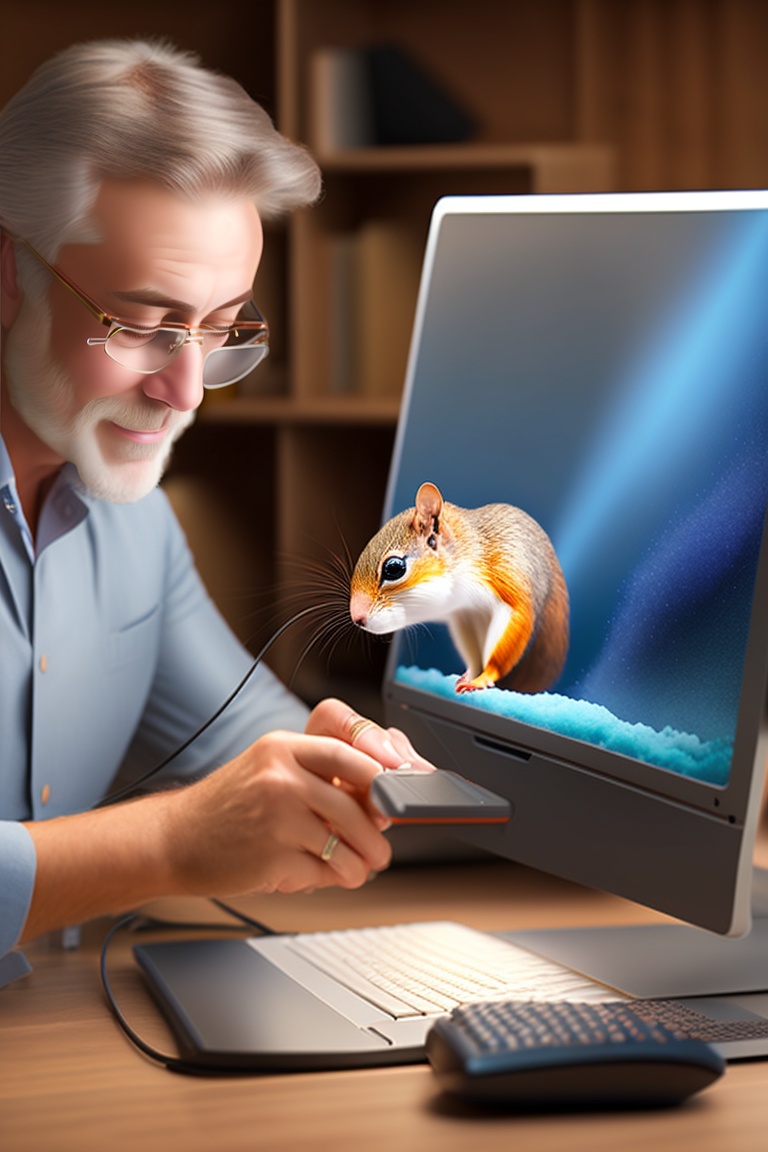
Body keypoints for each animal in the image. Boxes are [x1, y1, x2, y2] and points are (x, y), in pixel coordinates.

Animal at [350, 482, 569, 694]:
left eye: (394, 568)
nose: (357, 617)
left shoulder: (506, 577)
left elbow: (518, 621)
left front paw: (483, 677)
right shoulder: (464, 617)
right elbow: (474, 657)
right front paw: (471, 674)